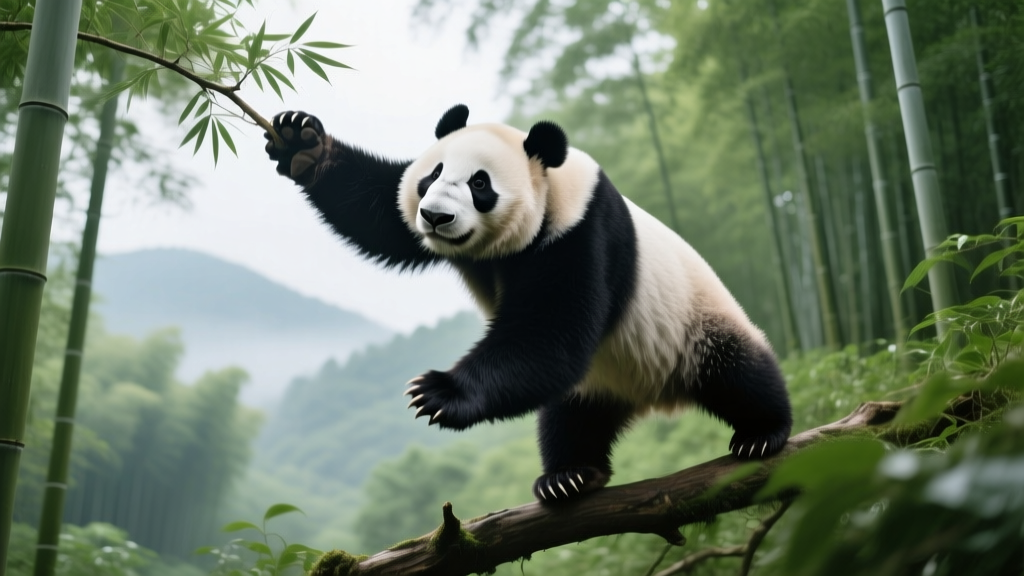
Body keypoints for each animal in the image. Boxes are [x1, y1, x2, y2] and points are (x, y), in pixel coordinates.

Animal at [265, 104, 792, 502]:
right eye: (432, 175)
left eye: (480, 184)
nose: (435, 217)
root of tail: (654, 395)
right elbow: (378, 211)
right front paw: (301, 143)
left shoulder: (582, 231)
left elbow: (552, 330)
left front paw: (438, 393)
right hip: (601, 380)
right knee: (568, 417)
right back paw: (571, 475)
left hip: (693, 322)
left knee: (739, 370)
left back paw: (761, 433)